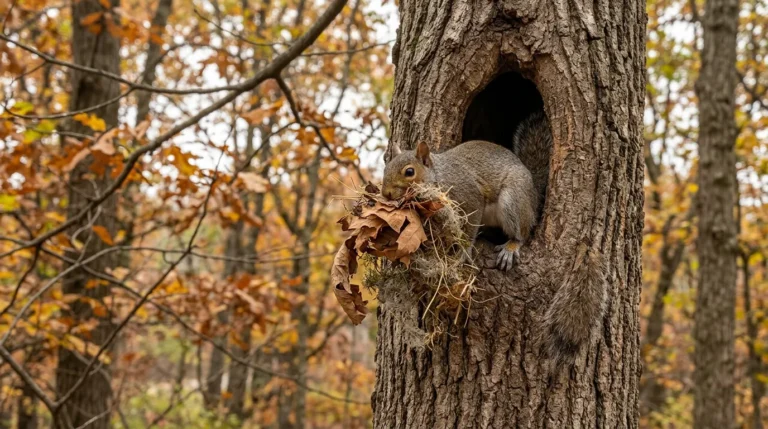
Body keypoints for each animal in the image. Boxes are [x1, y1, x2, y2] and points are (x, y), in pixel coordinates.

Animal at [381, 111, 607, 365]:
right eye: (385, 166)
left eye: (409, 172)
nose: (385, 194)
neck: (439, 175)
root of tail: (533, 198)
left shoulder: (470, 196)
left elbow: (469, 227)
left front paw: (463, 252)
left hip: (513, 201)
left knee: (523, 231)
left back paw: (511, 246)